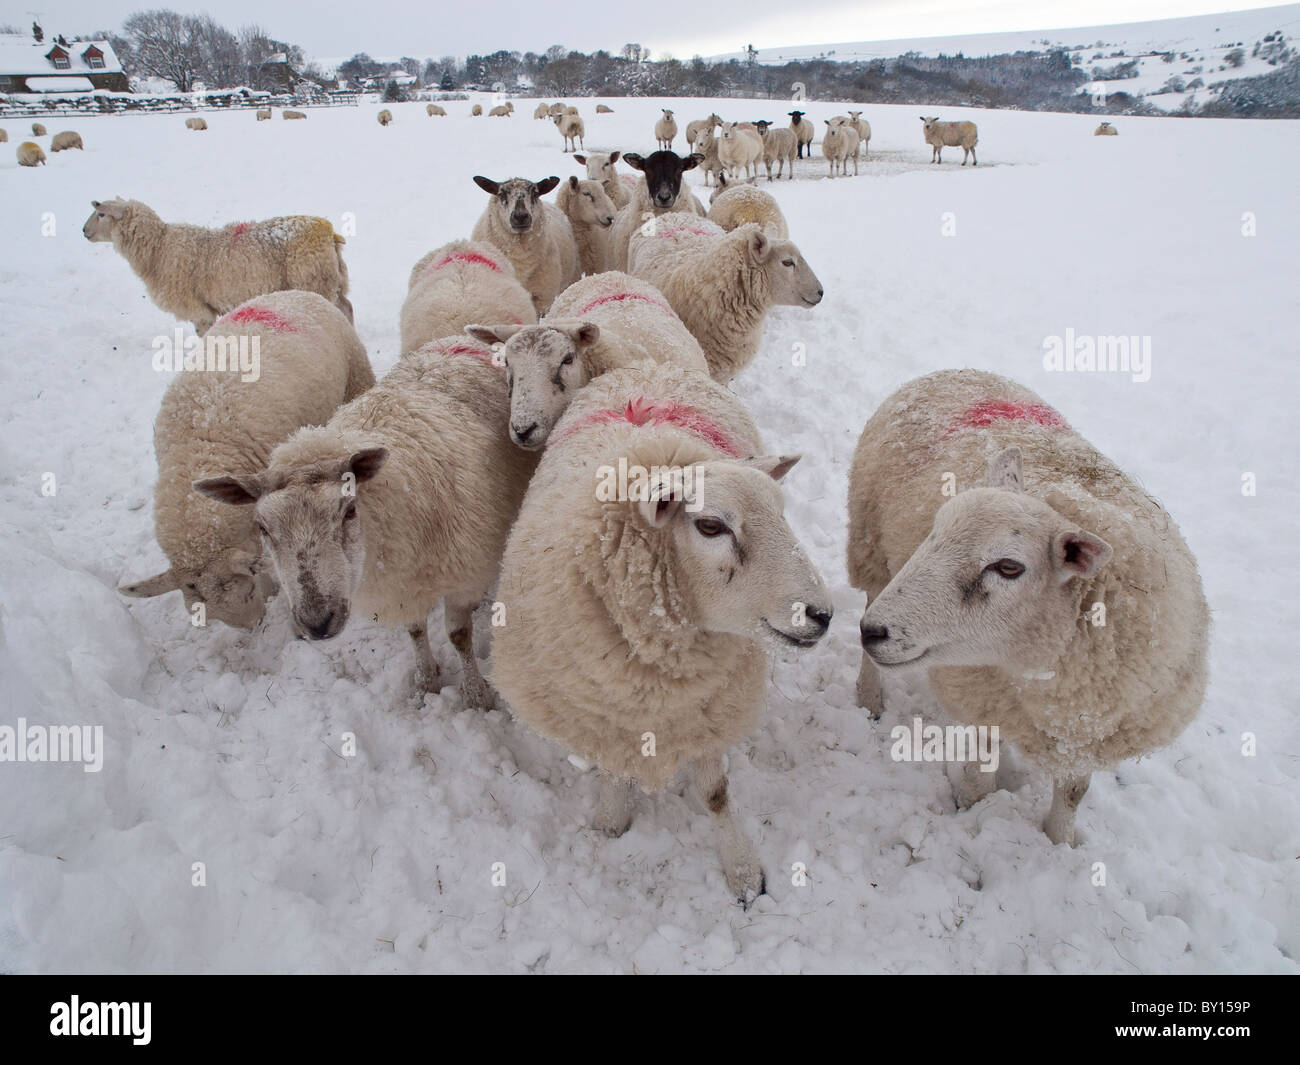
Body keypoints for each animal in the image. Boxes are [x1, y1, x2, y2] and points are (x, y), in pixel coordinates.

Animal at [82, 198, 354, 333]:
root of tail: (328, 231)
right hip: (331, 280)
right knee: (347, 307)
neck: (158, 249)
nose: (83, 231)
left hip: (315, 280)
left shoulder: (198, 309)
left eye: (101, 214)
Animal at [194, 337, 539, 706]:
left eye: (348, 511)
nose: (317, 624)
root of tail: (456, 340)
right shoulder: (400, 587)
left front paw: (475, 695)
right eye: (262, 527)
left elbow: (459, 636)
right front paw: (425, 682)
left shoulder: (465, 577)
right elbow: (415, 631)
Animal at [490, 359, 832, 904]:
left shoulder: (708, 706)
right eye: (711, 526)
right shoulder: (602, 708)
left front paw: (742, 871)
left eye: (783, 513)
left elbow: (715, 793)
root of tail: (646, 369)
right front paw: (612, 821)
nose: (821, 614)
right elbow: (613, 768)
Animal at [848, 369, 1209, 846]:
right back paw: (869, 699)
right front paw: (978, 809)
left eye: (1008, 567)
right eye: (934, 531)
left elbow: (1073, 792)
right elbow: (982, 757)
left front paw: (1059, 843)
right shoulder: (985, 694)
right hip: (871, 548)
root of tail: (955, 370)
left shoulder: (1088, 731)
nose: (873, 631)